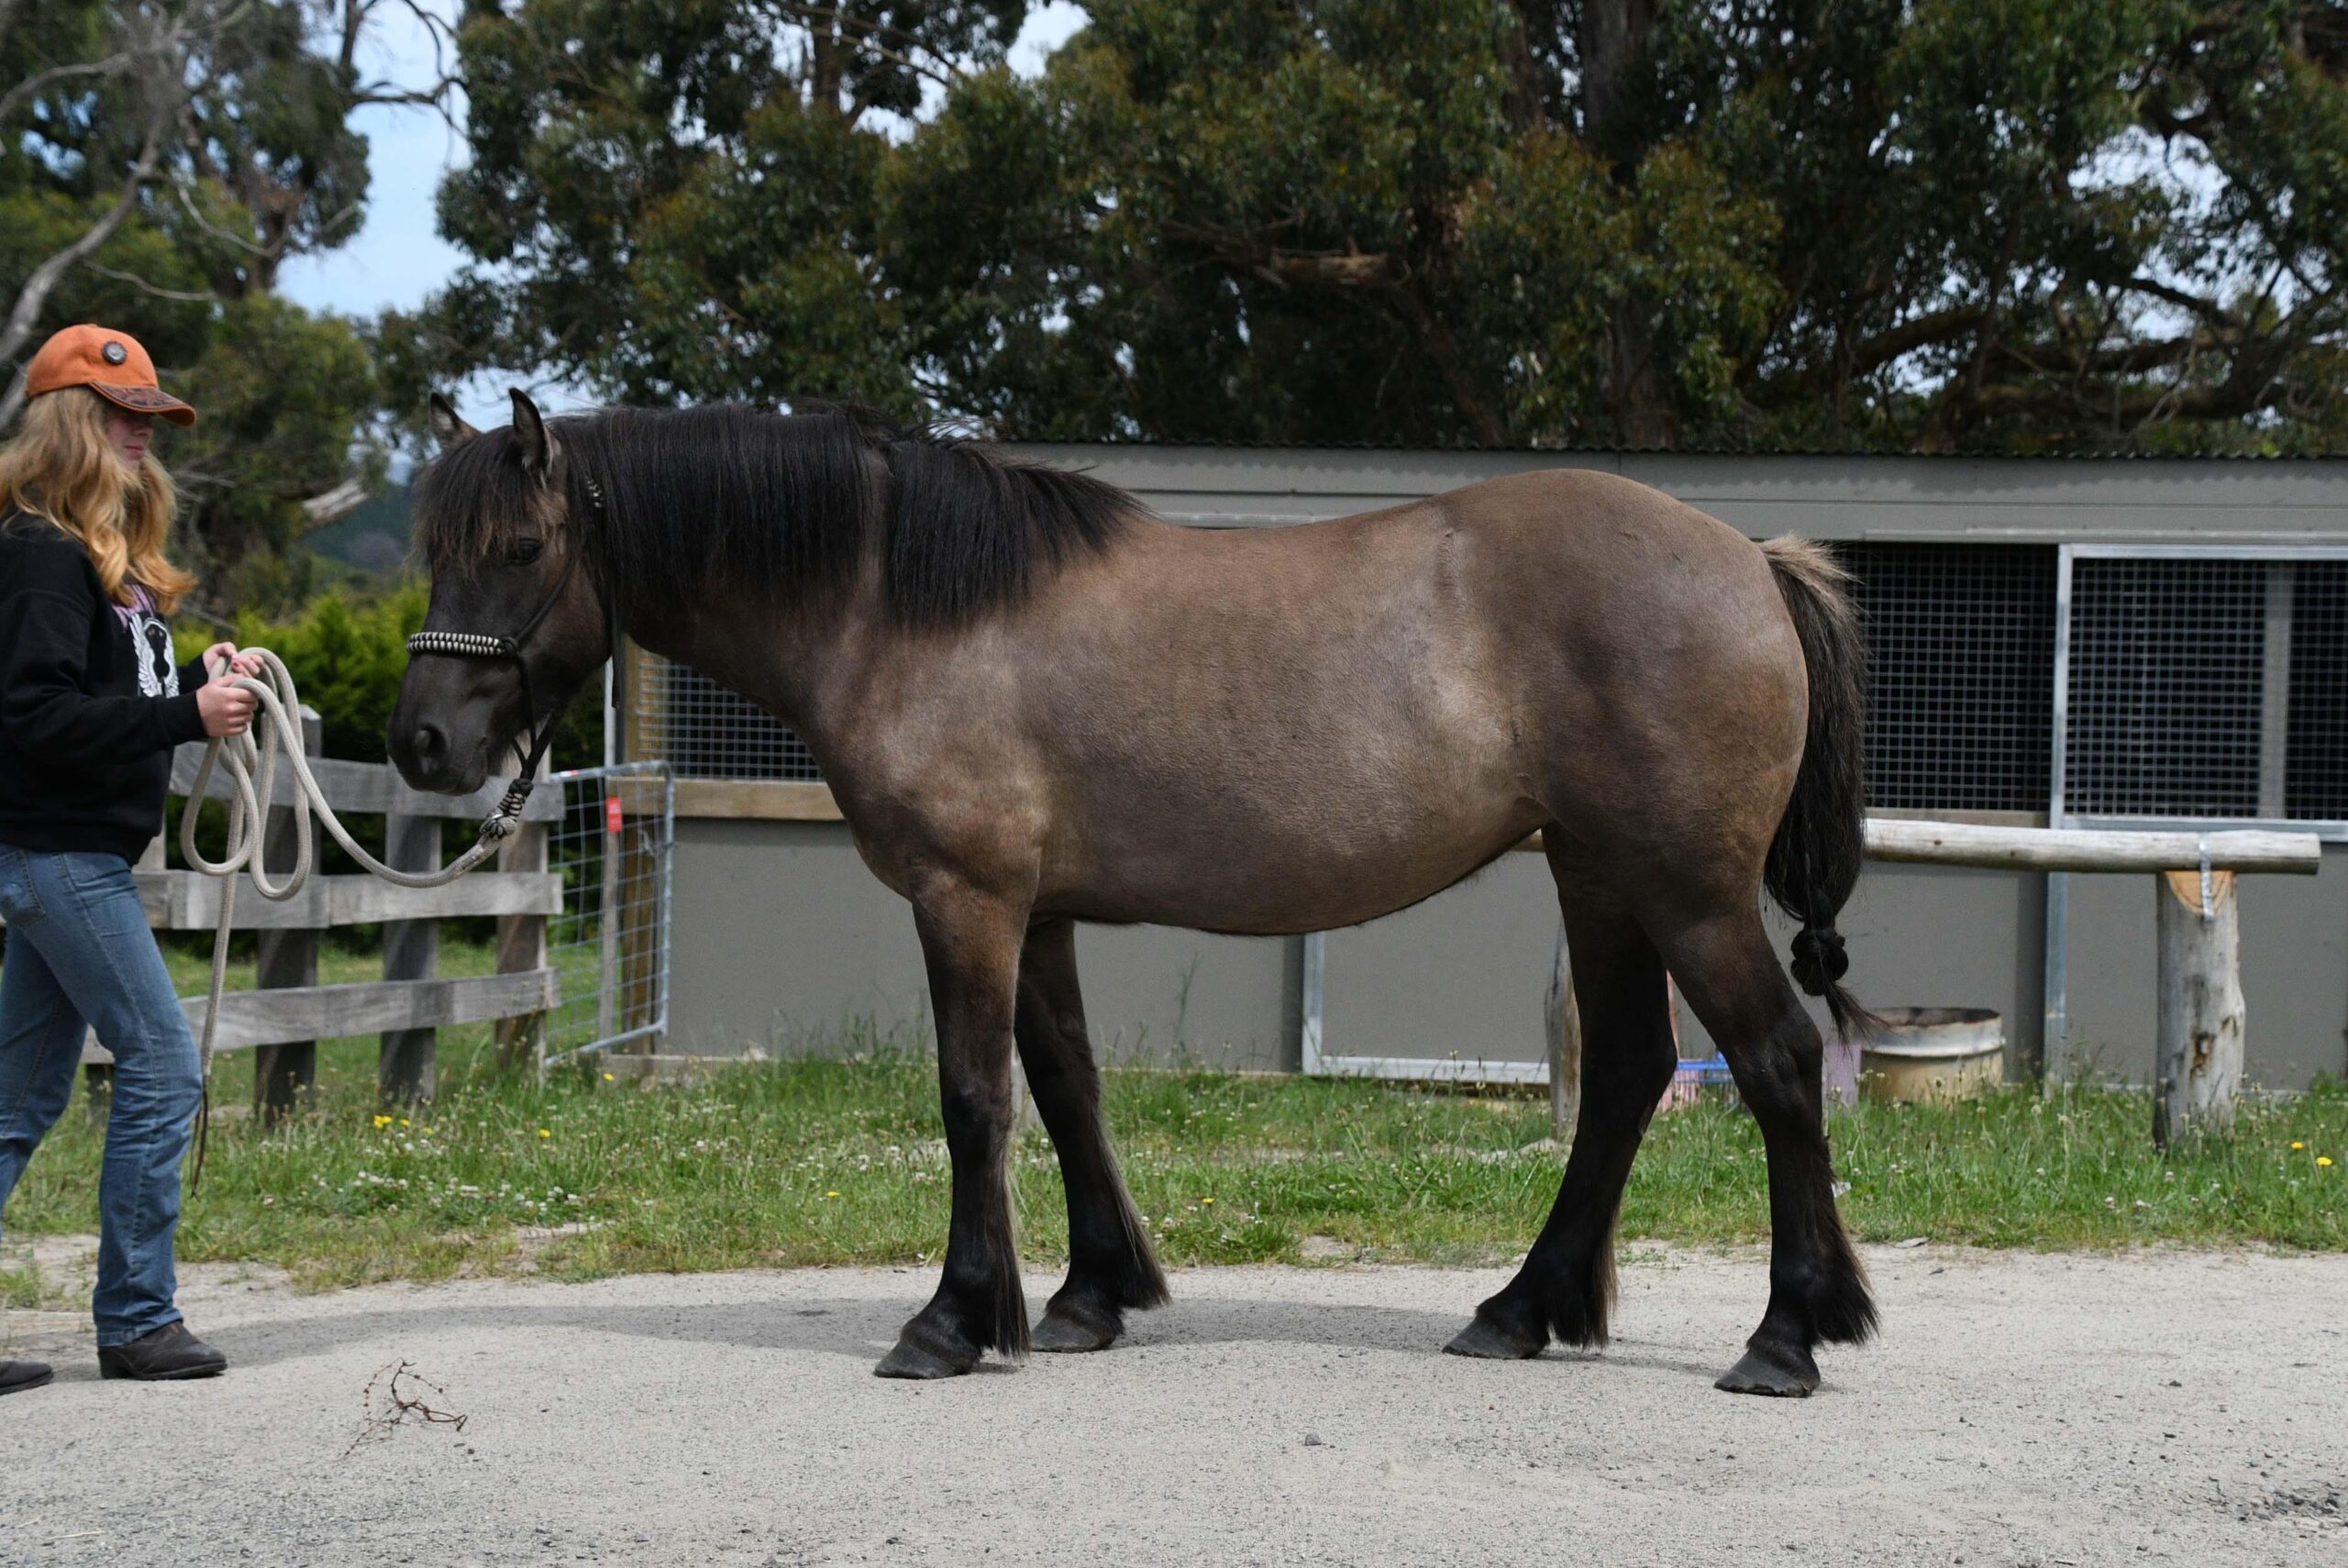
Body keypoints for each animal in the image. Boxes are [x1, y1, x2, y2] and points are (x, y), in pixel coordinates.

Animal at [391, 388, 1878, 1396]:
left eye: (520, 549)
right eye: (431, 548)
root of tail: (1752, 563)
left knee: (1777, 1063)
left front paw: (951, 1319)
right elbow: (1067, 1088)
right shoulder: (1036, 912)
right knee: (1628, 1074)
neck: (908, 608)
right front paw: (1090, 1295)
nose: (424, 744)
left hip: (1684, 889)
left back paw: (1788, 1334)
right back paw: (1521, 1309)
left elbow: (975, 1099)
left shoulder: (965, 899)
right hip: (1599, 876)